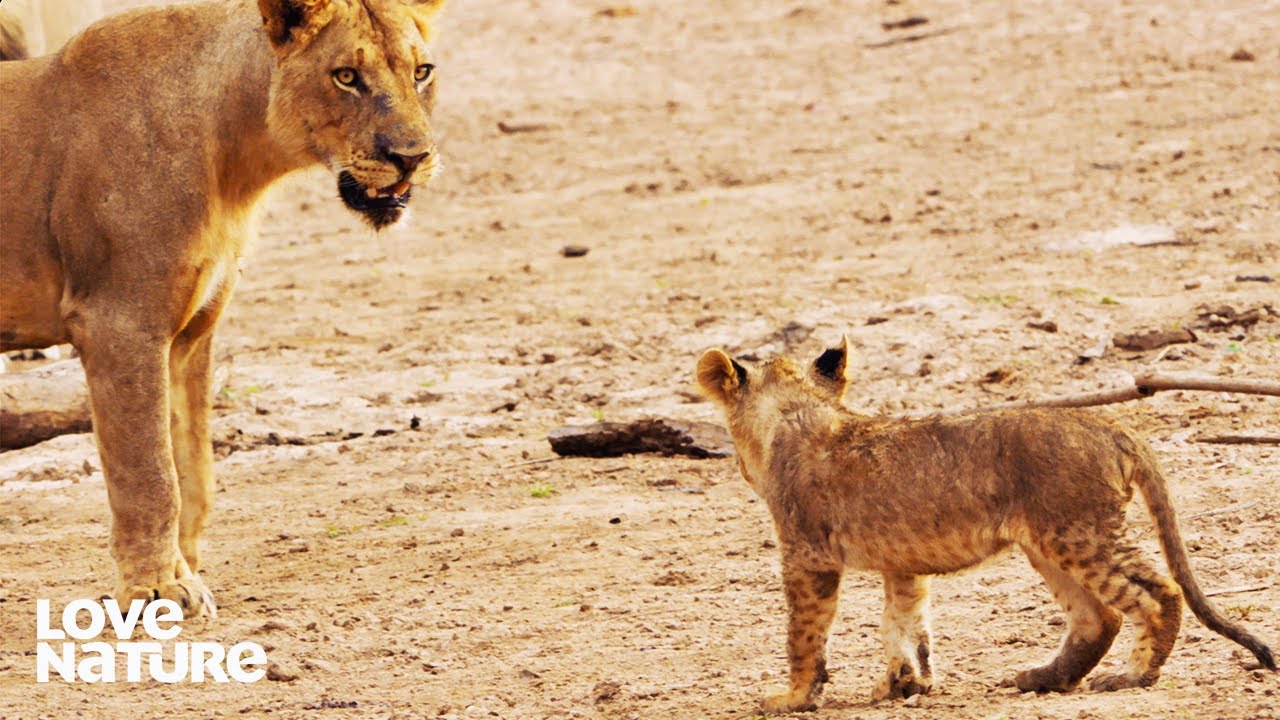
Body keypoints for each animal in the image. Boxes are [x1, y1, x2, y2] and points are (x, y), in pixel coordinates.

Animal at [0, 0, 446, 616]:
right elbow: (149, 472)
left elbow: (192, 468)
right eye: (346, 76)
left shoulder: (191, 333)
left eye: (421, 71)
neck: (236, 162)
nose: (411, 158)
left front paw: (181, 572)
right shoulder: (120, 321)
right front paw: (156, 589)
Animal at [696, 339, 1276, 713]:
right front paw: (904, 686)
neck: (794, 416)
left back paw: (1133, 676)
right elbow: (905, 622)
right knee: (1098, 616)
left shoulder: (806, 556)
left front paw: (793, 697)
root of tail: (1108, 423)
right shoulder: (903, 561)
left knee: (1157, 593)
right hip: (1049, 541)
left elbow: (805, 634)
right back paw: (1043, 679)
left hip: (1078, 532)